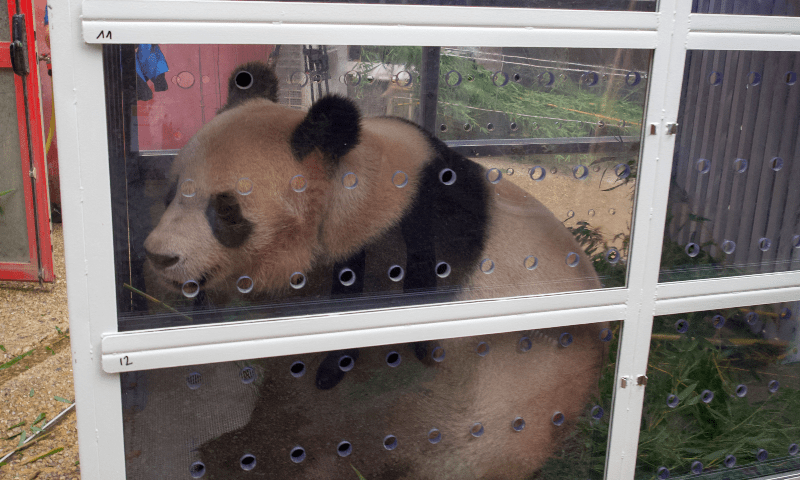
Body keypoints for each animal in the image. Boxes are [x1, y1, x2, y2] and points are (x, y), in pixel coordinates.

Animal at [141, 62, 606, 479]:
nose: (160, 257)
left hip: (517, 386)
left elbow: (347, 389)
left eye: (226, 211)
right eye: (170, 193)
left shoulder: (400, 268)